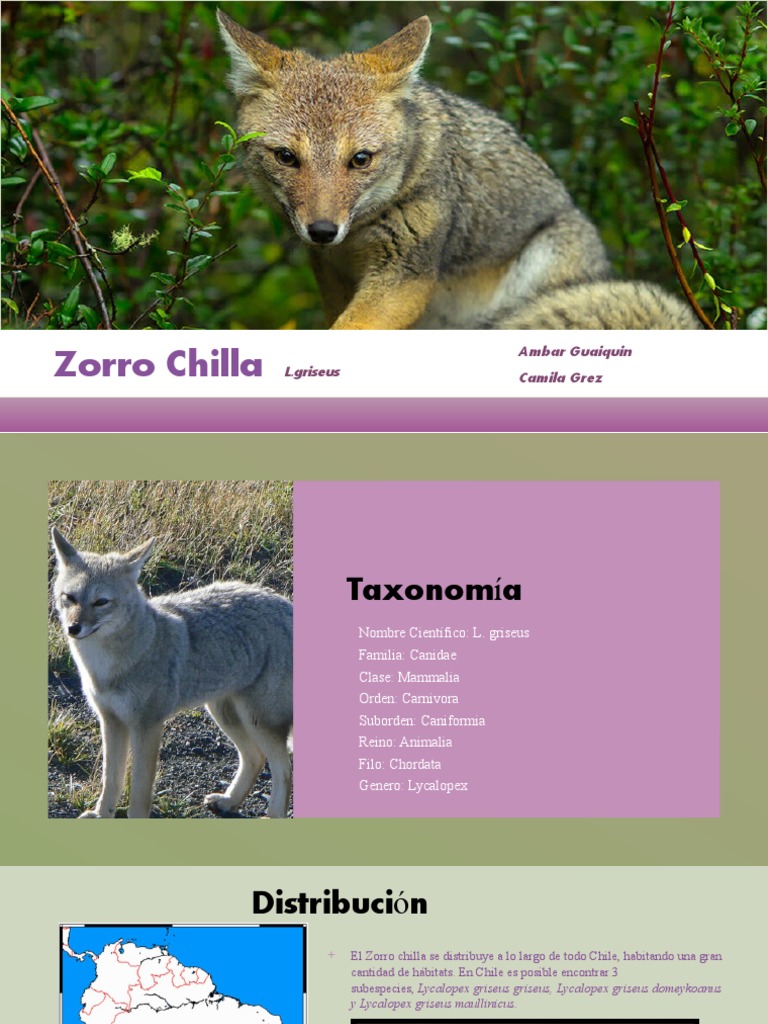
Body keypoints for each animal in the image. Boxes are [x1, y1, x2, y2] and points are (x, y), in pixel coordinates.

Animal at [51, 527, 293, 819]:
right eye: (70, 597)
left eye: (101, 602)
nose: (73, 628)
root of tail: (285, 603)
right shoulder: (111, 720)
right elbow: (112, 779)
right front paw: (102, 814)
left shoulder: (148, 725)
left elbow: (140, 790)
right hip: (225, 713)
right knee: (255, 757)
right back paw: (229, 801)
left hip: (257, 719)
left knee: (284, 768)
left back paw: (273, 815)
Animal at [217, 10, 698, 331]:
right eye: (286, 157)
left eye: (360, 159)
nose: (321, 231)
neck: (358, 237)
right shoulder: (334, 275)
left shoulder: (405, 277)